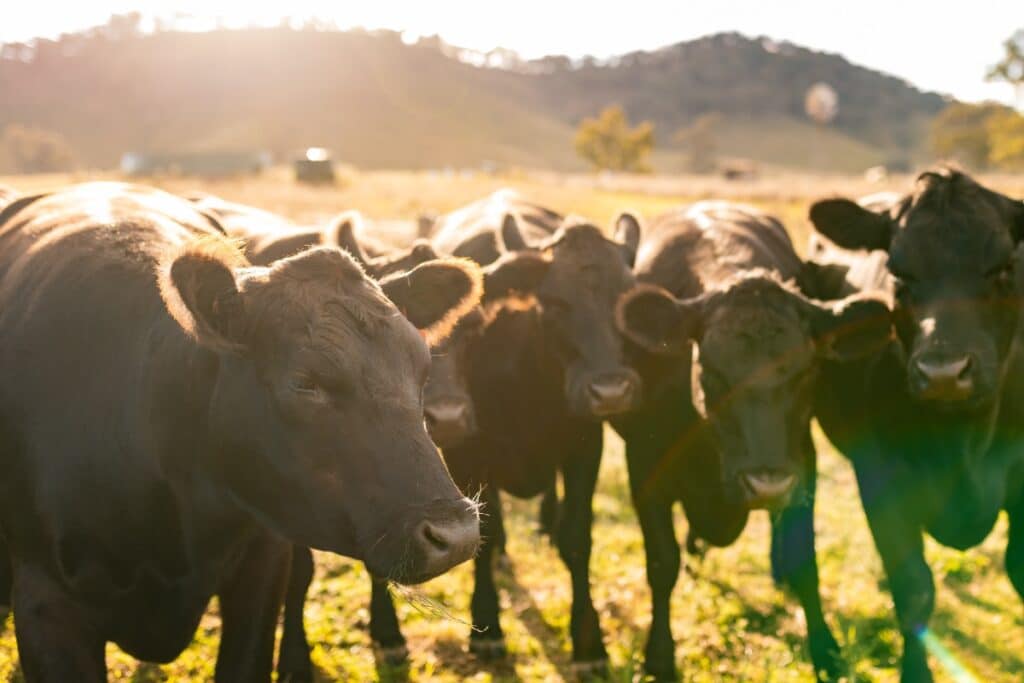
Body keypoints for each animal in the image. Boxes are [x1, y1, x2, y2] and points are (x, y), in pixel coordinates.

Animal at [612, 201, 892, 681]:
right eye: (709, 370)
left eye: (808, 372)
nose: (766, 484)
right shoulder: (644, 467)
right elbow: (662, 564)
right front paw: (659, 657)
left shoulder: (803, 463)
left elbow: (805, 561)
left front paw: (825, 649)